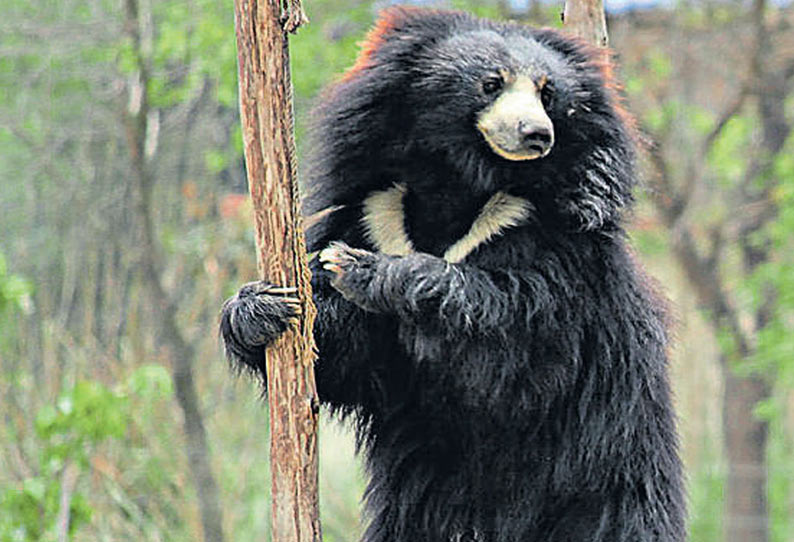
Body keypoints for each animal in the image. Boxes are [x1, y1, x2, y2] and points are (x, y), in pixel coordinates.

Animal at [220, 7, 686, 542]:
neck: (459, 184)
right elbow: (345, 356)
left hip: (610, 472)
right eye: (491, 83)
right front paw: (260, 310)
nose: (537, 135)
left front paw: (362, 270)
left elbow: (513, 342)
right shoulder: (373, 214)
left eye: (548, 93)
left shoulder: (556, 250)